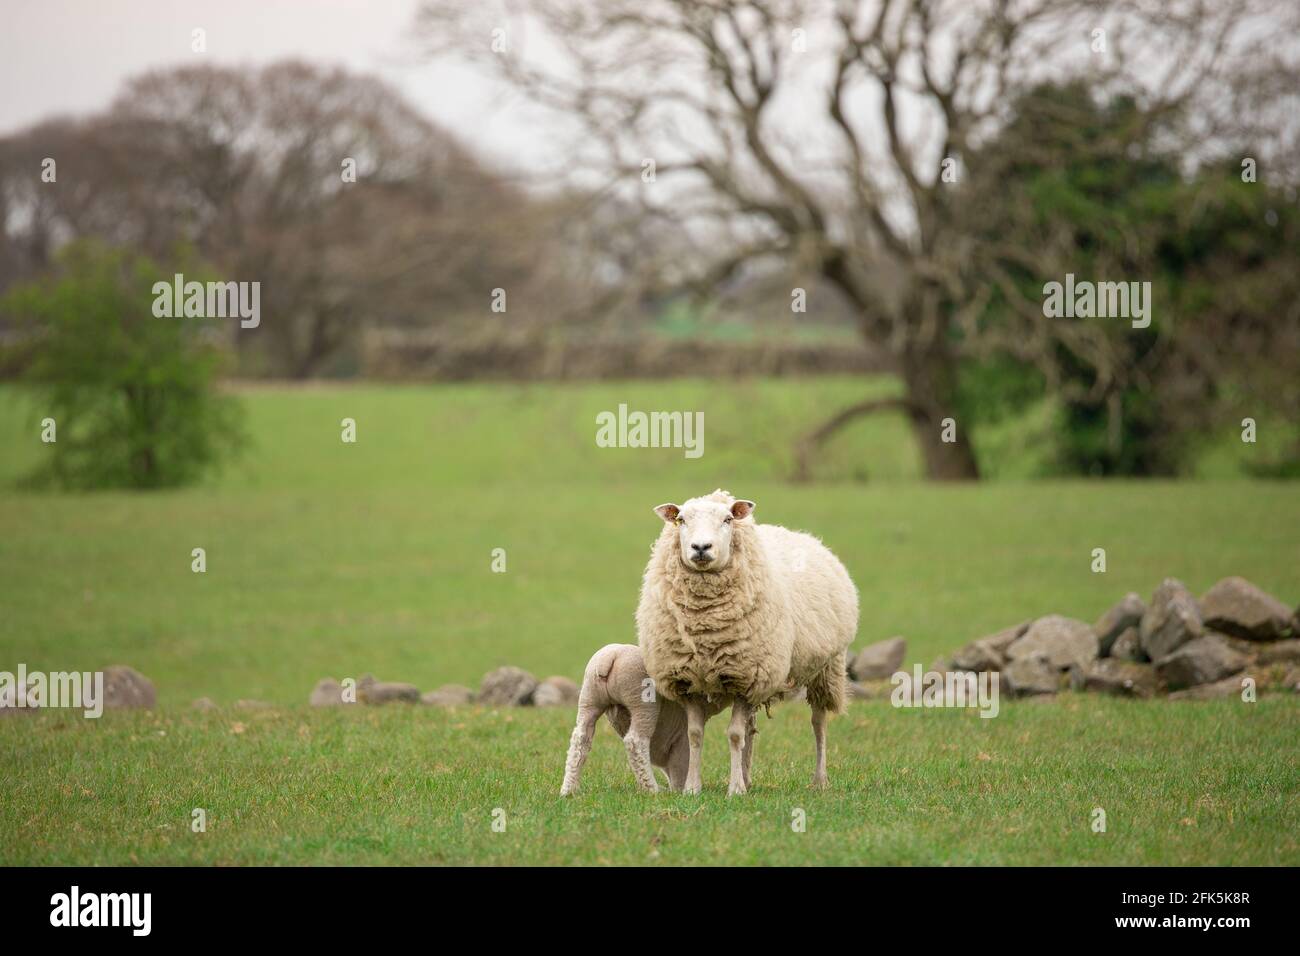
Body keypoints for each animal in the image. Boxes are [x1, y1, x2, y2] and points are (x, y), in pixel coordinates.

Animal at [559, 643, 729, 796]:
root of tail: (610, 658)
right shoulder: (680, 739)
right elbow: (681, 765)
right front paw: (682, 790)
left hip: (589, 699)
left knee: (580, 739)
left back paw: (569, 790)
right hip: (642, 702)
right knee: (636, 741)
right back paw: (652, 789)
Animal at [636, 489, 859, 796]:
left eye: (728, 519)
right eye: (681, 520)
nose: (701, 547)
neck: (705, 625)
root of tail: (808, 538)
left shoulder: (746, 678)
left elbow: (733, 734)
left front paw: (735, 790)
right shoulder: (689, 680)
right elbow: (695, 735)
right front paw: (694, 788)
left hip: (826, 667)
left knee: (819, 721)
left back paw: (820, 779)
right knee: (752, 728)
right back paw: (747, 776)